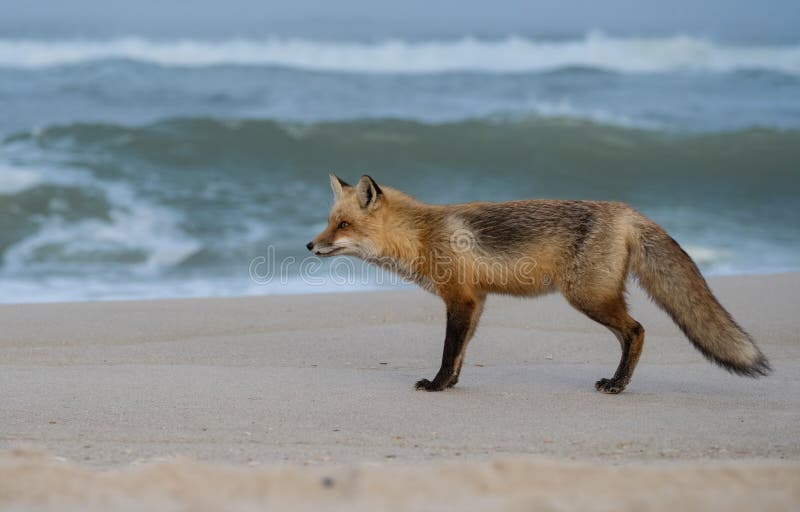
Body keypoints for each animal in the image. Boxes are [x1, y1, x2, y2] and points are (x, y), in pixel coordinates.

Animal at [307, 174, 770, 394]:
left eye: (342, 225)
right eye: (330, 221)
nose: (310, 245)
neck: (421, 235)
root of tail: (626, 210)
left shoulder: (459, 299)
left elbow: (448, 351)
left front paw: (437, 386)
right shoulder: (476, 300)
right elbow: (462, 353)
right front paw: (451, 384)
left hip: (587, 297)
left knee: (636, 332)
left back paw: (617, 385)